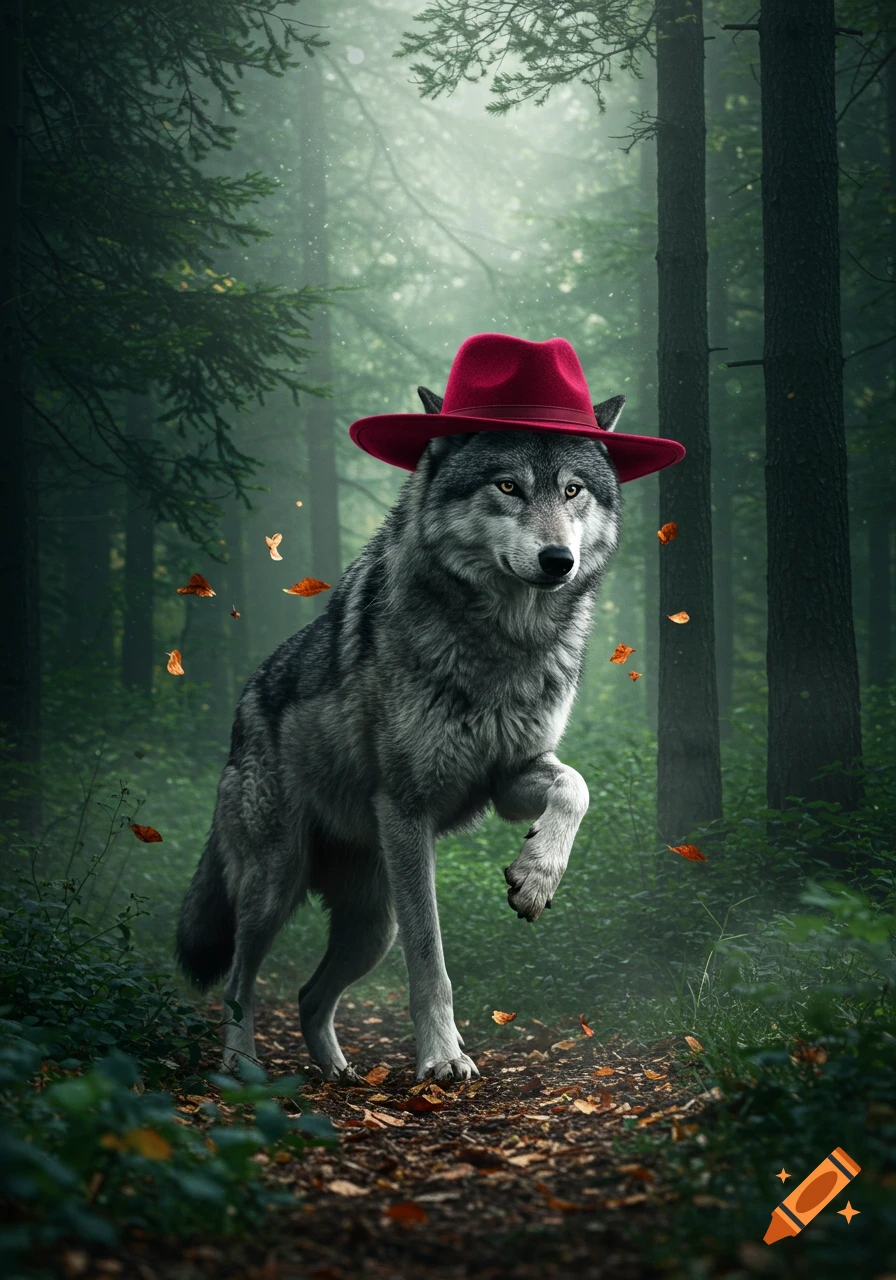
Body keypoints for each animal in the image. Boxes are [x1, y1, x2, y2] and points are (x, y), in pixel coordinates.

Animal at [175, 387, 626, 1081]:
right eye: (509, 486)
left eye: (573, 490)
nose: (559, 561)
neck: (503, 644)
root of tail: (244, 705)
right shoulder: (409, 808)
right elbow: (430, 959)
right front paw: (443, 1058)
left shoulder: (509, 777)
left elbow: (575, 787)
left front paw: (536, 876)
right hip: (272, 889)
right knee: (238, 983)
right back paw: (241, 1065)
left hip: (369, 926)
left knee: (308, 995)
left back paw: (337, 1072)